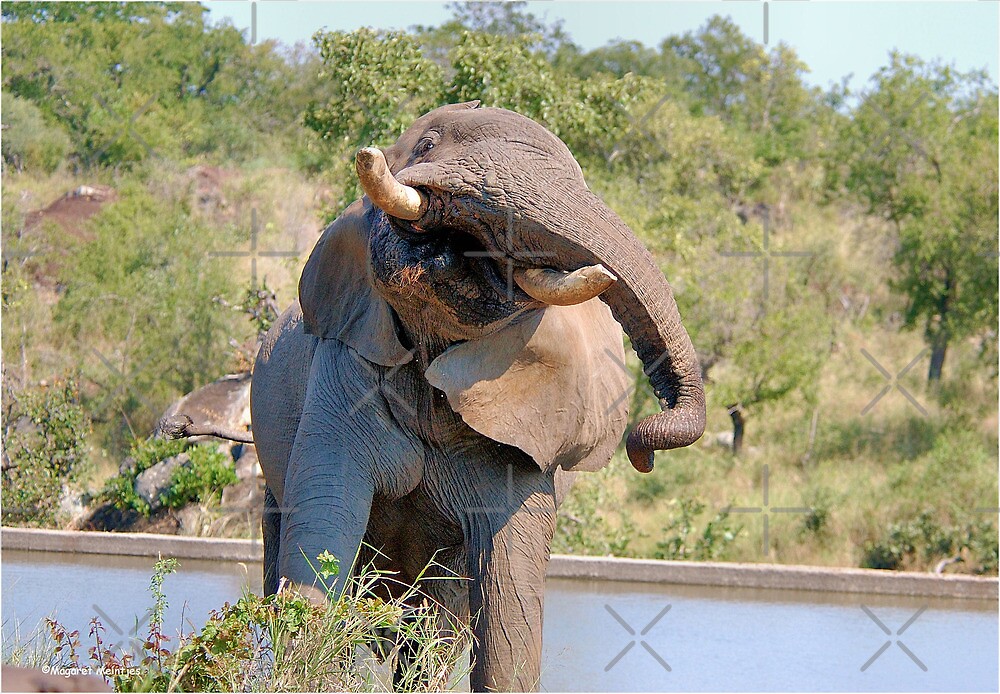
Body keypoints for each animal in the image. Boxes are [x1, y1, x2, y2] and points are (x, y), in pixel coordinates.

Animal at [173, 101, 705, 691]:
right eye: (426, 146)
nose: (643, 449)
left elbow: (509, 605)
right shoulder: (344, 365)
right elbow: (323, 533)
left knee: (434, 630)